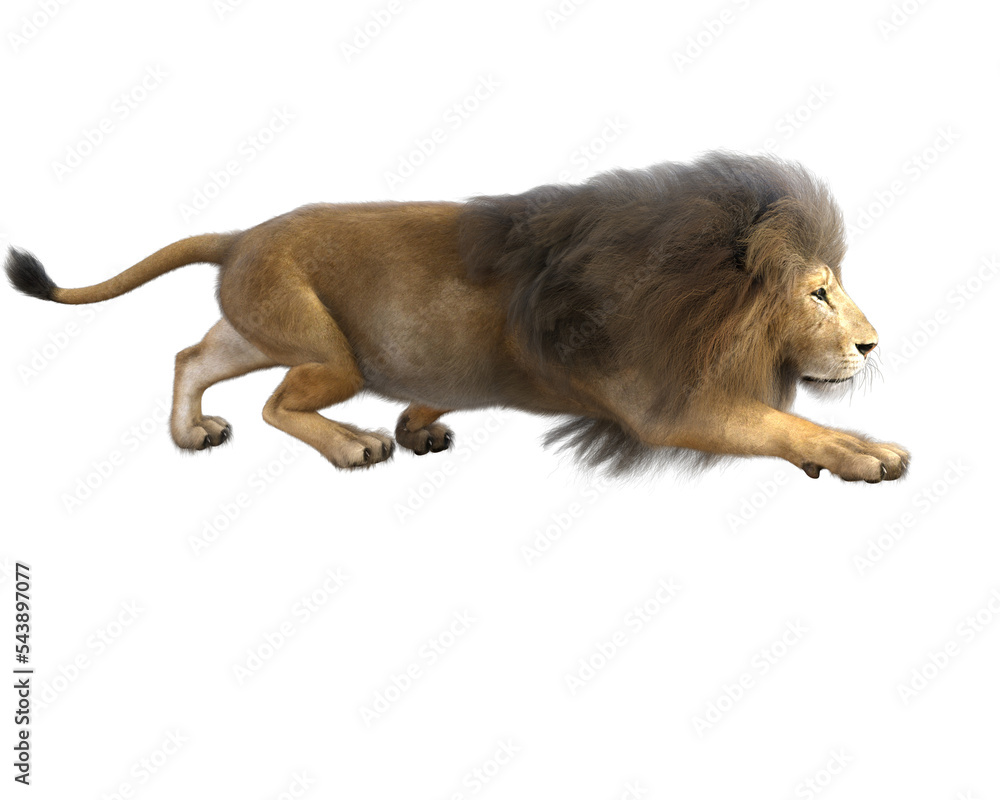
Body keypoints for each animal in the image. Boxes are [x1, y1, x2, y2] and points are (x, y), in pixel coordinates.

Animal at [6, 151, 908, 482]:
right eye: (818, 292)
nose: (872, 345)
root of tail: (240, 236)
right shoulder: (661, 404)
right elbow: (785, 425)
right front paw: (867, 453)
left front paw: (421, 422)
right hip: (328, 351)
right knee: (276, 401)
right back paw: (354, 444)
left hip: (260, 324)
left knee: (190, 357)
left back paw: (193, 433)